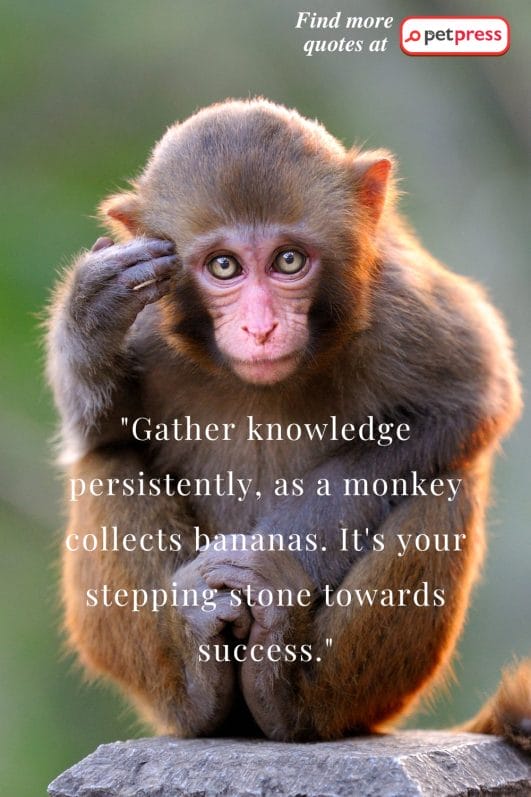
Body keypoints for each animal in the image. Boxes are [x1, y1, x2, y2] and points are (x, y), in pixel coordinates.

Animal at [46, 98, 530, 747]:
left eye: (289, 261)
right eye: (223, 266)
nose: (261, 328)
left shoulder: (402, 304)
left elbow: (472, 399)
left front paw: (268, 564)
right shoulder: (147, 315)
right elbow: (98, 430)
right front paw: (90, 314)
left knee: (446, 481)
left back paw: (292, 693)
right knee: (107, 464)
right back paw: (196, 685)